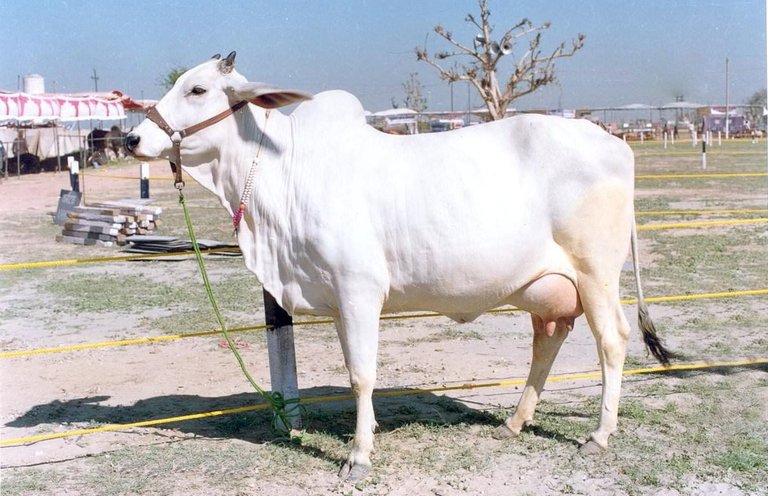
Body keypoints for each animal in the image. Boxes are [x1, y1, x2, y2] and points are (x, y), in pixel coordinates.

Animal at [126, 52, 672, 481]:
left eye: (197, 88)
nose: (131, 139)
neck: (284, 172)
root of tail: (614, 141)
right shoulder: (339, 299)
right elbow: (353, 369)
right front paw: (365, 432)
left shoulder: (359, 289)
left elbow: (362, 375)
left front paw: (359, 455)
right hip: (549, 287)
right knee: (549, 340)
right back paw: (514, 422)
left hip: (596, 274)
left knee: (612, 341)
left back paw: (599, 435)